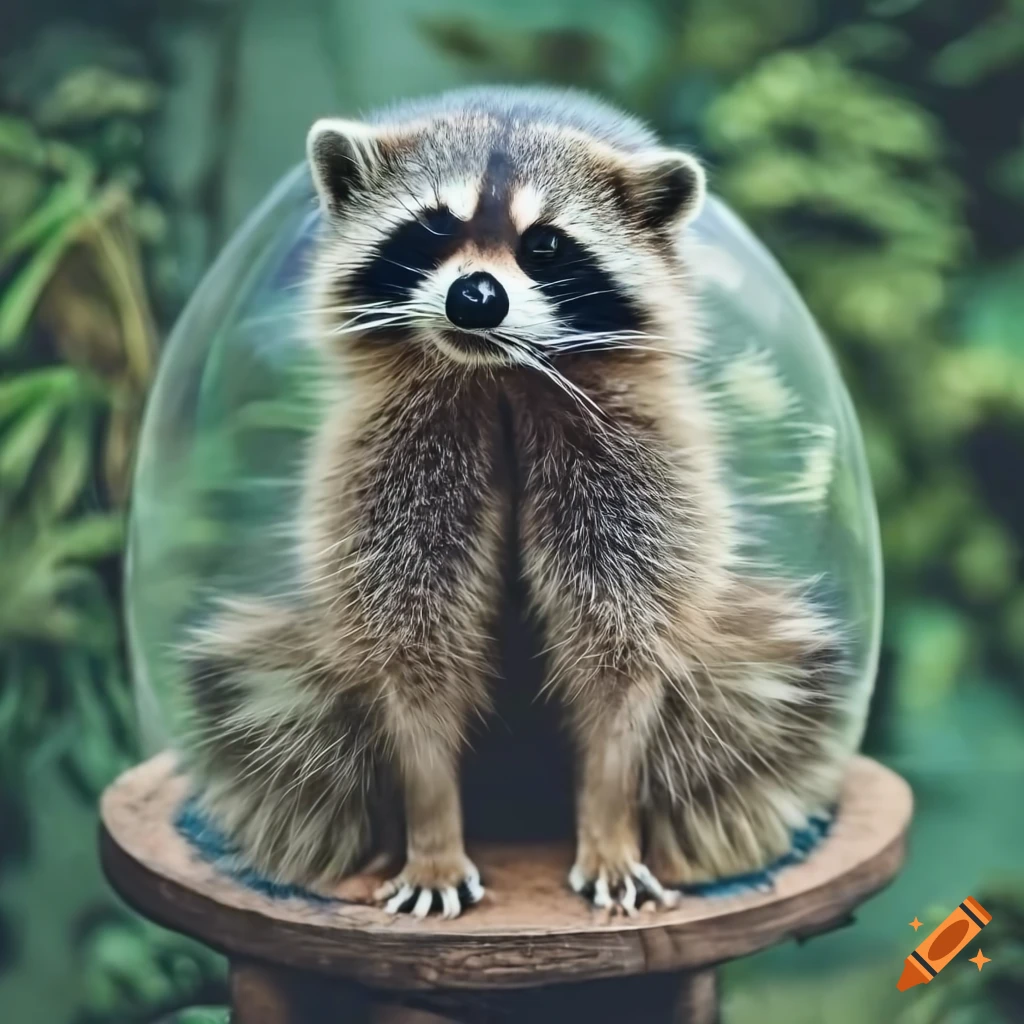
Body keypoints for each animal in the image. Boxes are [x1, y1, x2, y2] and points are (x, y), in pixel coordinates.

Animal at [182, 86, 853, 919]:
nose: (476, 298)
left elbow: (622, 661)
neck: (496, 380)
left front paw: (610, 824)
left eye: (546, 246)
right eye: (434, 227)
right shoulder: (390, 475)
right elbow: (413, 661)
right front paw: (432, 834)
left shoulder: (635, 472)